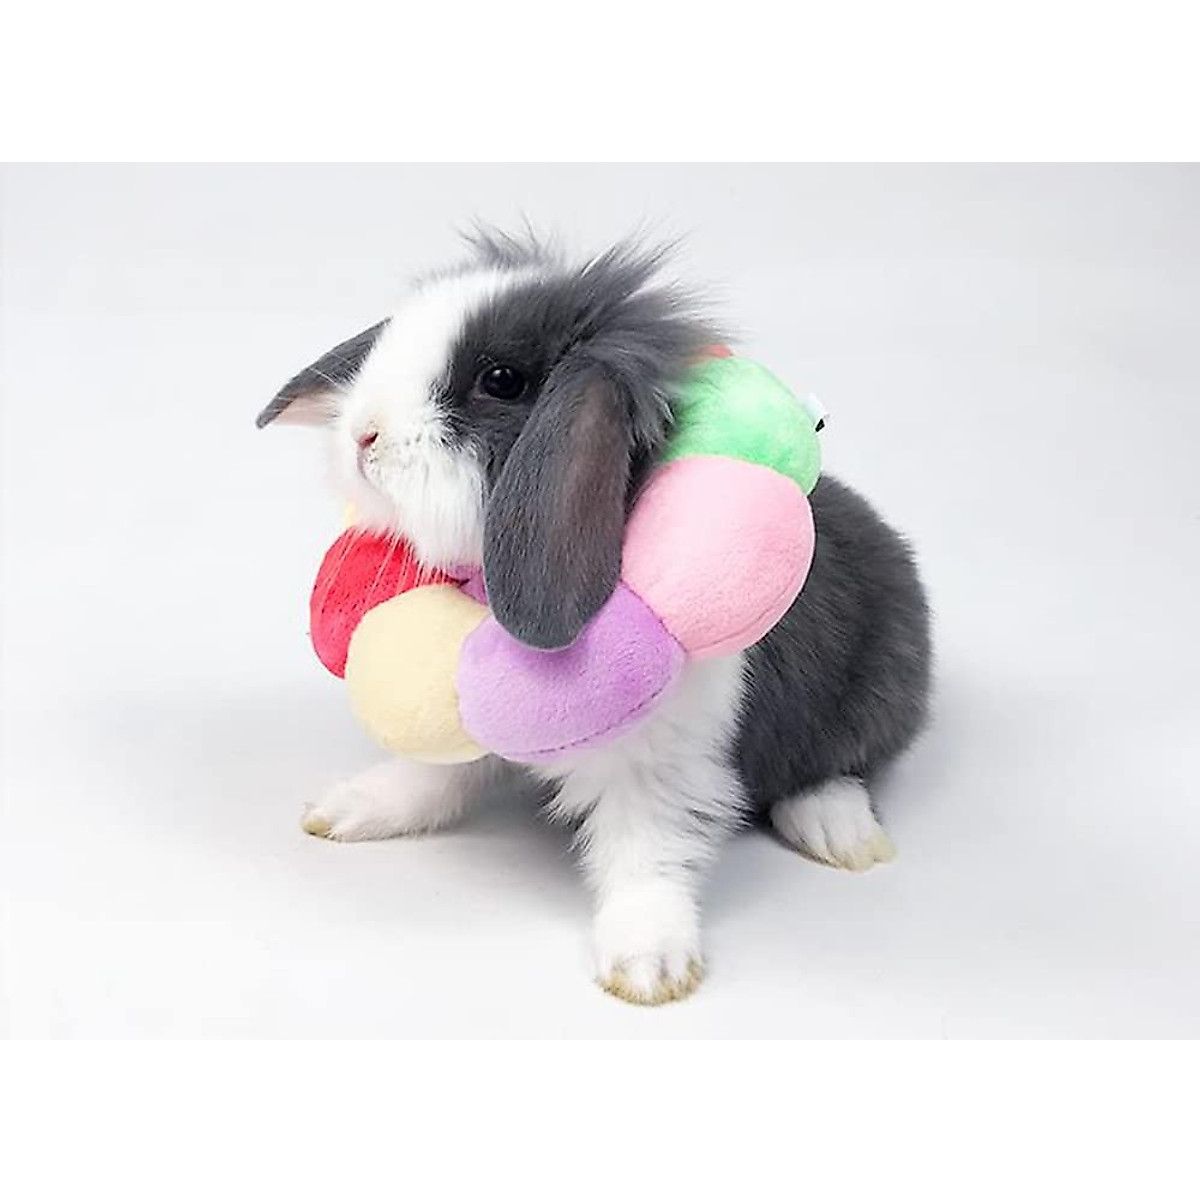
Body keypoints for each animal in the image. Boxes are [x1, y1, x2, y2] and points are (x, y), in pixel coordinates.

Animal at [258, 230, 932, 1005]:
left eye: (501, 380)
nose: (363, 436)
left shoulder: (662, 762)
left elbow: (648, 850)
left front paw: (648, 965)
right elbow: (434, 777)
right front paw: (351, 808)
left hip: (877, 688)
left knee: (843, 765)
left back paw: (837, 829)